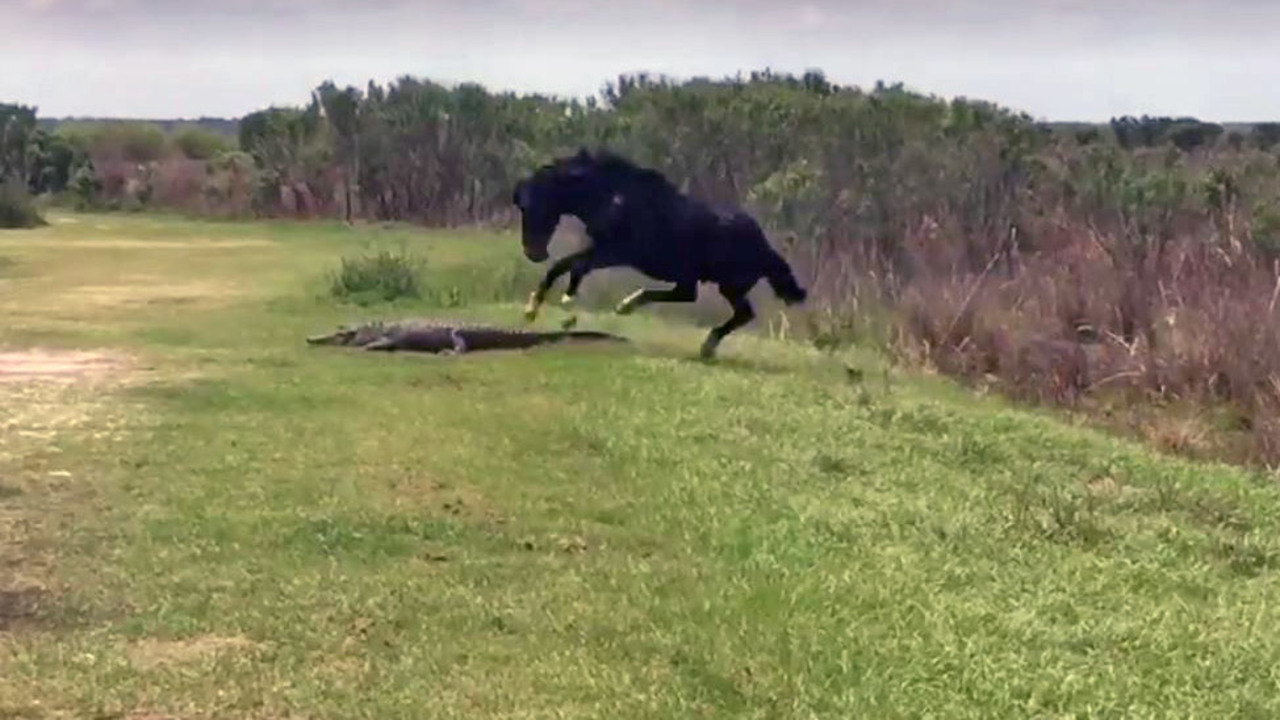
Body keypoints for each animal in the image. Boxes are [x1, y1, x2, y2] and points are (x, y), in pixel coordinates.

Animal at [510, 148, 808, 359]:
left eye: (533, 205)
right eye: (522, 207)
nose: (532, 252)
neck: (615, 198)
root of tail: (766, 248)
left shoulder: (616, 252)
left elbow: (573, 266)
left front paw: (561, 303)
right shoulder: (601, 248)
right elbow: (565, 267)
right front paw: (541, 308)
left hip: (726, 283)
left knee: (731, 310)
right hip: (714, 282)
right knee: (707, 302)